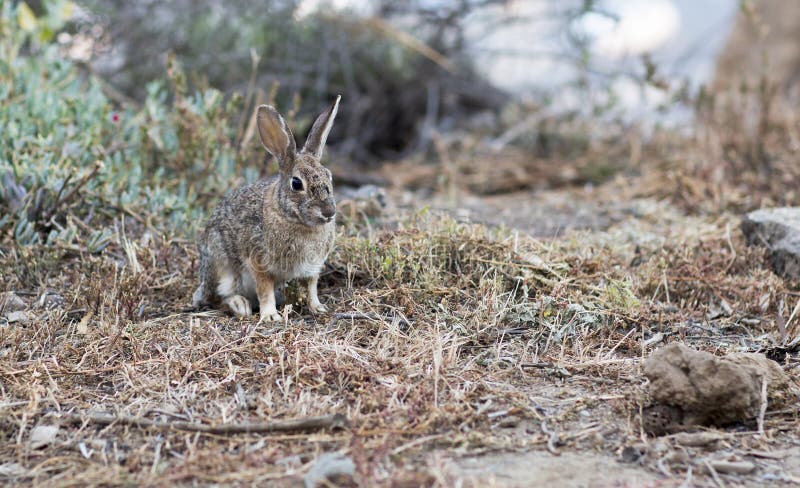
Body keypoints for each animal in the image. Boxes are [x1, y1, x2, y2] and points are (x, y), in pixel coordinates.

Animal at [192, 96, 340, 322]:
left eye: (329, 176)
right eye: (296, 183)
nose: (328, 212)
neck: (292, 218)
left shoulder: (313, 267)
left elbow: (311, 288)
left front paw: (318, 308)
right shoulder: (258, 263)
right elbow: (265, 290)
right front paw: (270, 316)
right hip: (221, 267)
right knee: (218, 297)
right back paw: (239, 304)